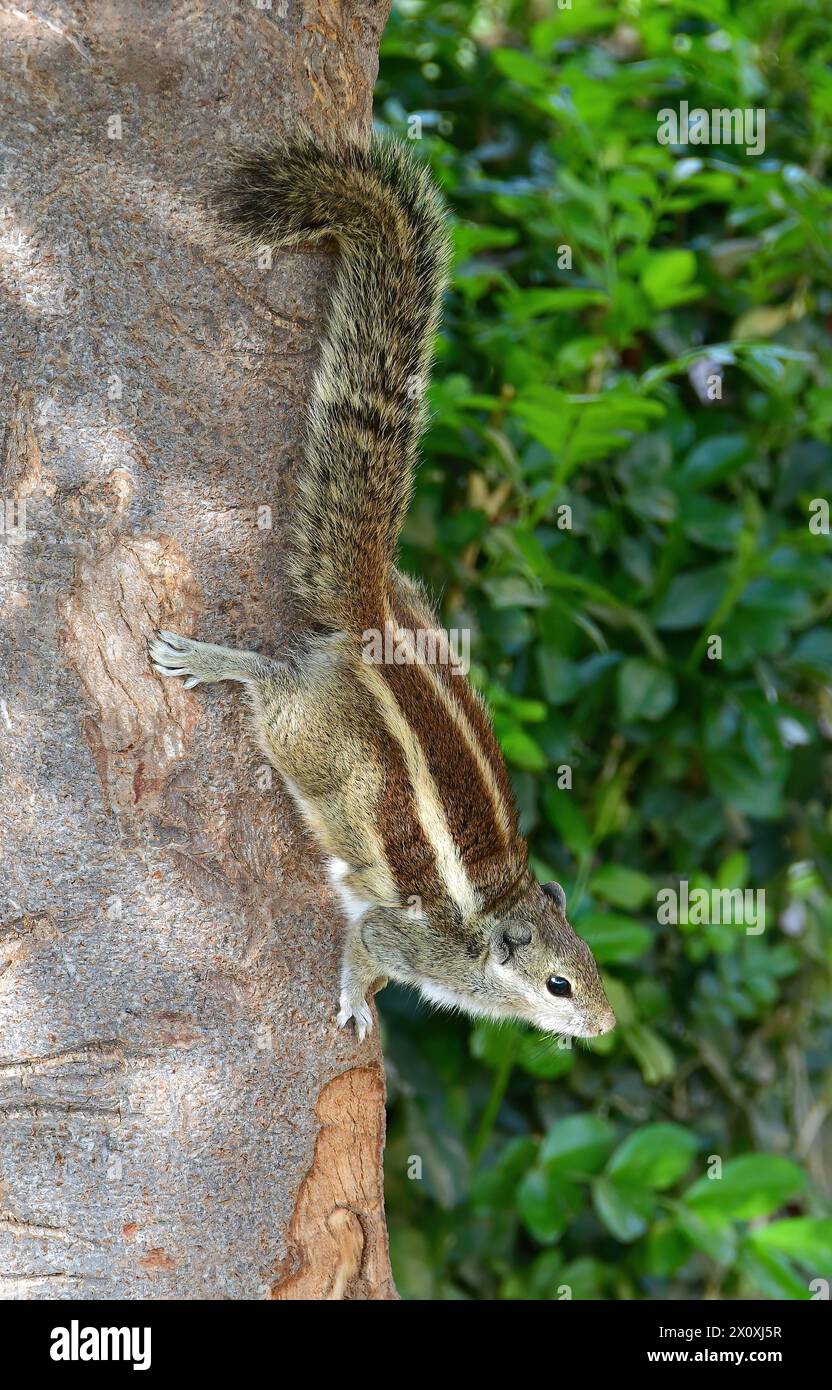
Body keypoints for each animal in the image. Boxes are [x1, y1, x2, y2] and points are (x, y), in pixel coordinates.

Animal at [149, 135, 616, 1043]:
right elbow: (365, 947)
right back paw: (211, 661)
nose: (608, 1025)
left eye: (594, 964)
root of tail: (375, 620)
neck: (491, 918)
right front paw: (352, 1004)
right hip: (303, 733)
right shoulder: (402, 937)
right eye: (558, 985)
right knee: (271, 681)